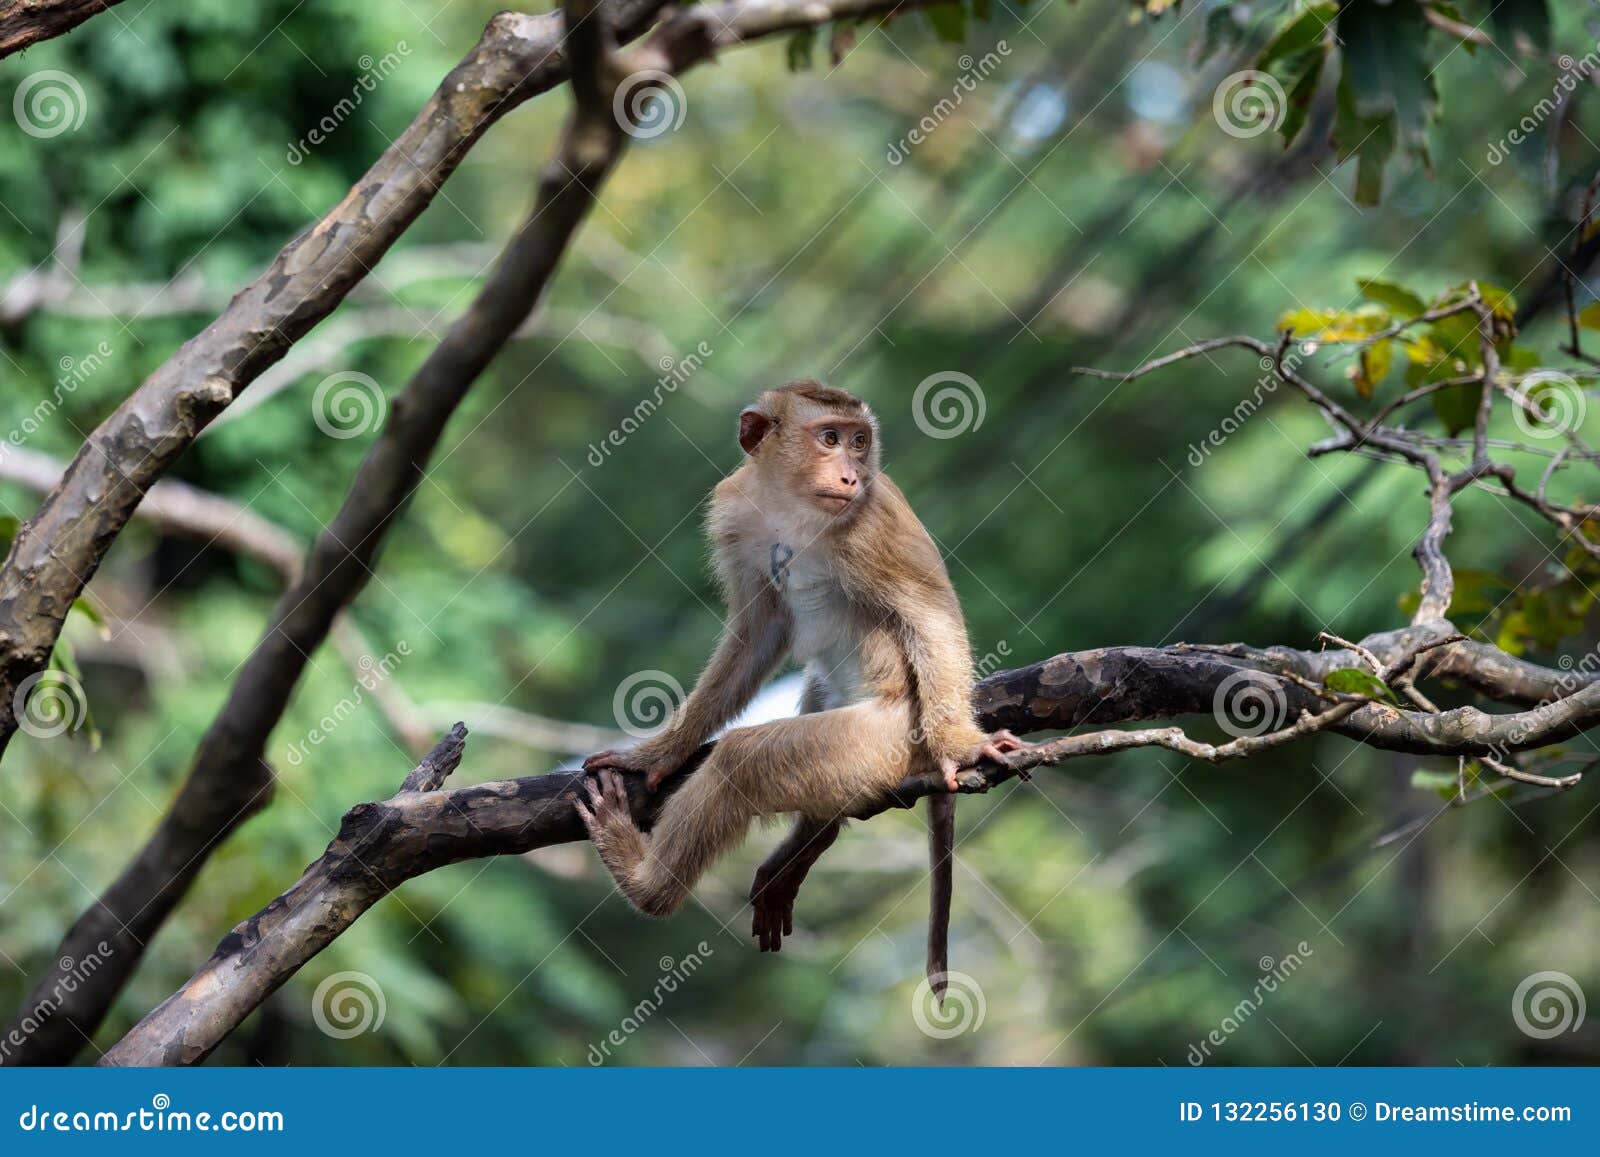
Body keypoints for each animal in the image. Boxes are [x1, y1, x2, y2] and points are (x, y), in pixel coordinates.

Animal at [576, 379, 1024, 997]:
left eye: (859, 442)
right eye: (829, 438)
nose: (851, 474)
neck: (793, 507)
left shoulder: (872, 521)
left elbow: (931, 617)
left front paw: (962, 743)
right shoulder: (735, 509)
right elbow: (758, 633)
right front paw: (660, 752)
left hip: (885, 740)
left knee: (741, 763)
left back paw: (647, 886)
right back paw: (813, 835)